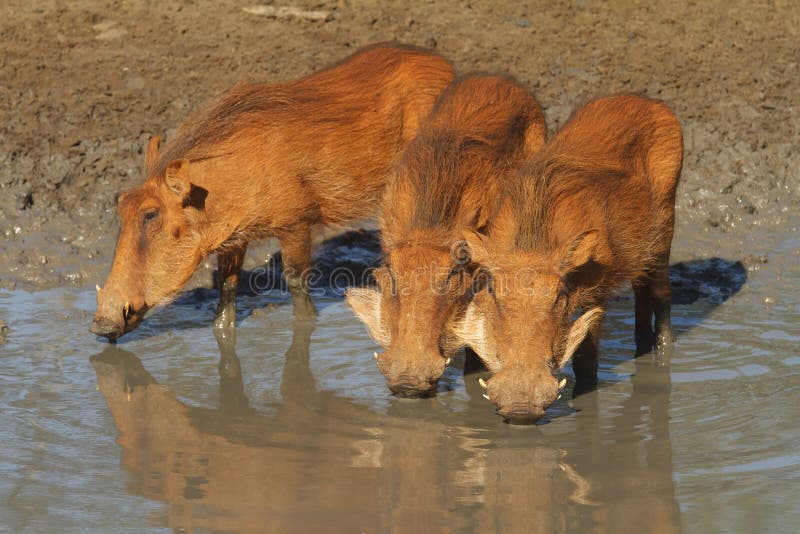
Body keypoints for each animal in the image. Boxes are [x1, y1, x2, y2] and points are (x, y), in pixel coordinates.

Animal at [90, 43, 455, 340]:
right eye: (120, 204)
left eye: (151, 215)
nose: (100, 325)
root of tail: (445, 67)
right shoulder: (233, 239)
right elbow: (227, 288)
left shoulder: (296, 225)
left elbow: (297, 289)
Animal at [450, 94, 683, 423]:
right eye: (493, 292)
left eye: (560, 295)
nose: (521, 408)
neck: (534, 241)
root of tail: (649, 102)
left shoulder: (596, 293)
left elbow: (586, 360)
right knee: (641, 292)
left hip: (664, 232)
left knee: (662, 296)